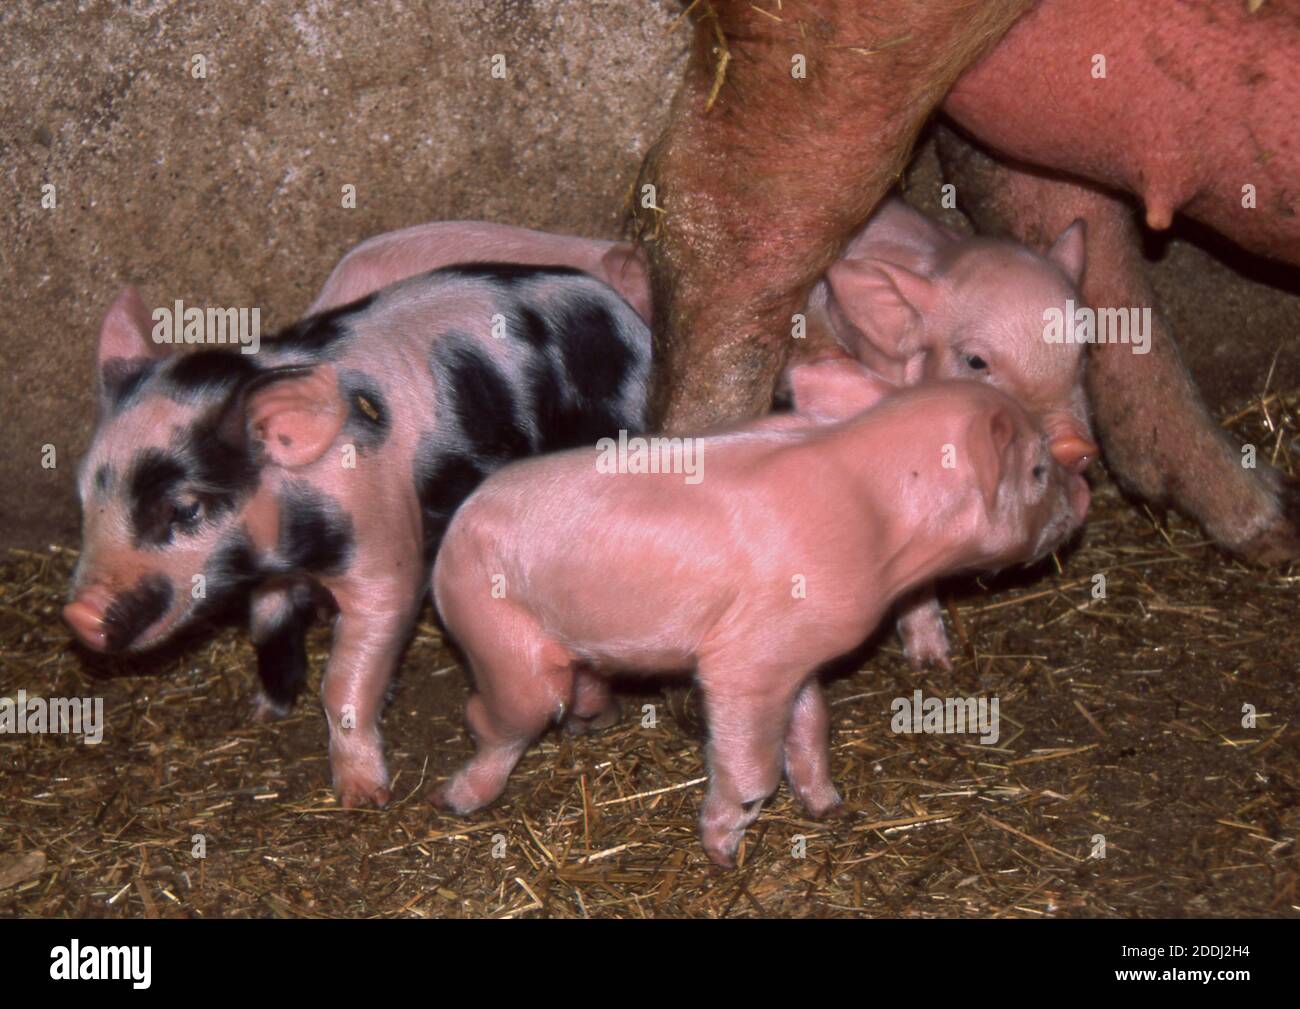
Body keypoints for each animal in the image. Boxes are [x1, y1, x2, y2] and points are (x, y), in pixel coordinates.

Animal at [63, 265, 650, 807]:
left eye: (185, 509)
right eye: (86, 497)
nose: (79, 614)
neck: (289, 548)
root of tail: (623, 314)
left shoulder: (385, 558)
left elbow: (346, 677)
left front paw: (364, 796)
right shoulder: (274, 571)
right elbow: (268, 626)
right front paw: (263, 711)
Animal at [430, 377, 1089, 866]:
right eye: (1037, 471)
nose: (1085, 488)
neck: (881, 524)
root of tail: (452, 535)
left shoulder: (799, 652)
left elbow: (812, 725)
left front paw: (832, 809)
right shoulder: (749, 657)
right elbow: (753, 761)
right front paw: (724, 853)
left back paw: (596, 719)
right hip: (502, 641)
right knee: (492, 716)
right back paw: (455, 802)